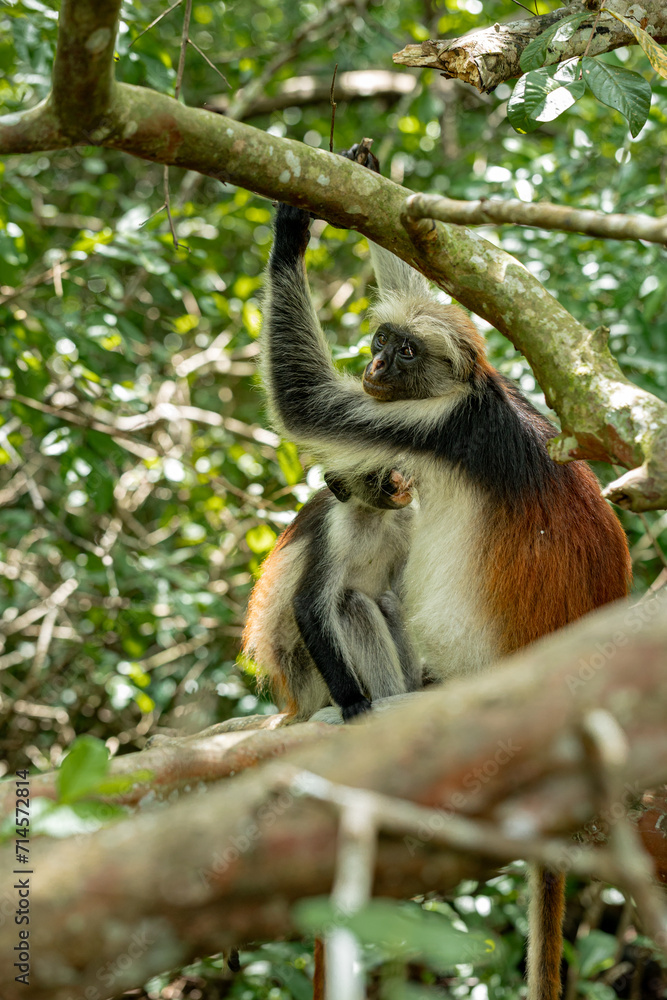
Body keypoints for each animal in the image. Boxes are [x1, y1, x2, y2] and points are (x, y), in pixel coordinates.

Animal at [242, 465, 421, 722]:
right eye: (373, 474)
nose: (400, 479)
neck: (373, 515)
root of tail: (296, 704)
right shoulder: (335, 529)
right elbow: (308, 605)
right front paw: (351, 701)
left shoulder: (407, 518)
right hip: (306, 676)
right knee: (350, 603)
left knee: (388, 601)